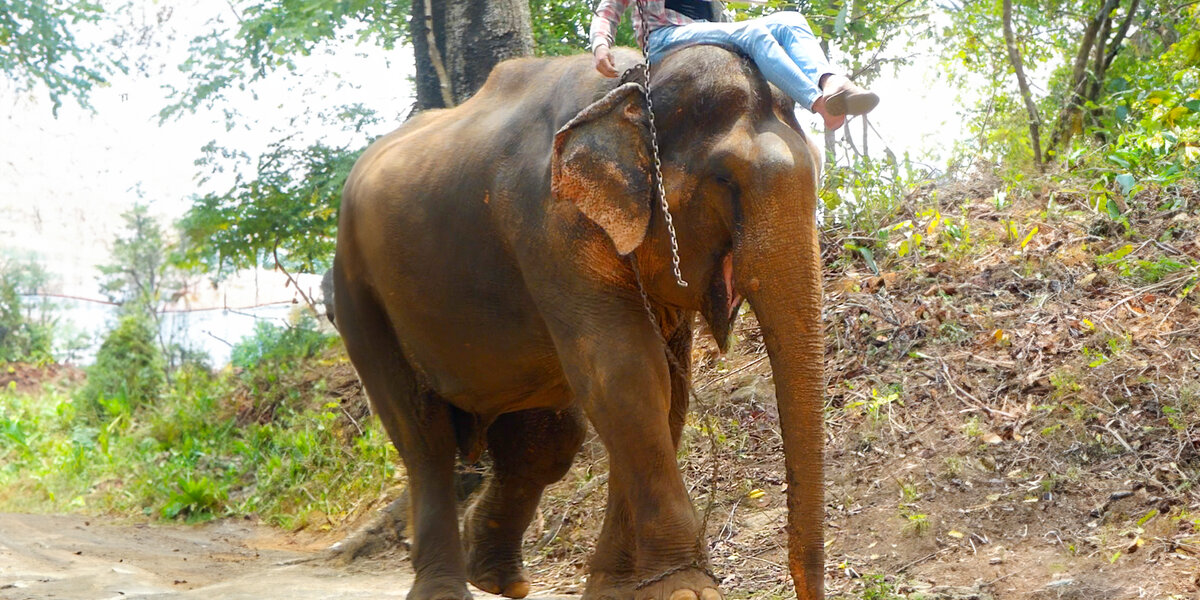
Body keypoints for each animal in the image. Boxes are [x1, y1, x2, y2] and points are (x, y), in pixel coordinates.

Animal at [333, 44, 826, 600]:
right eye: (724, 179)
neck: (624, 91)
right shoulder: (550, 227)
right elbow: (625, 375)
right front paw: (687, 588)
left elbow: (665, 392)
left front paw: (616, 589)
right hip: (359, 300)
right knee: (425, 438)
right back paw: (447, 586)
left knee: (546, 441)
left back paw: (498, 577)